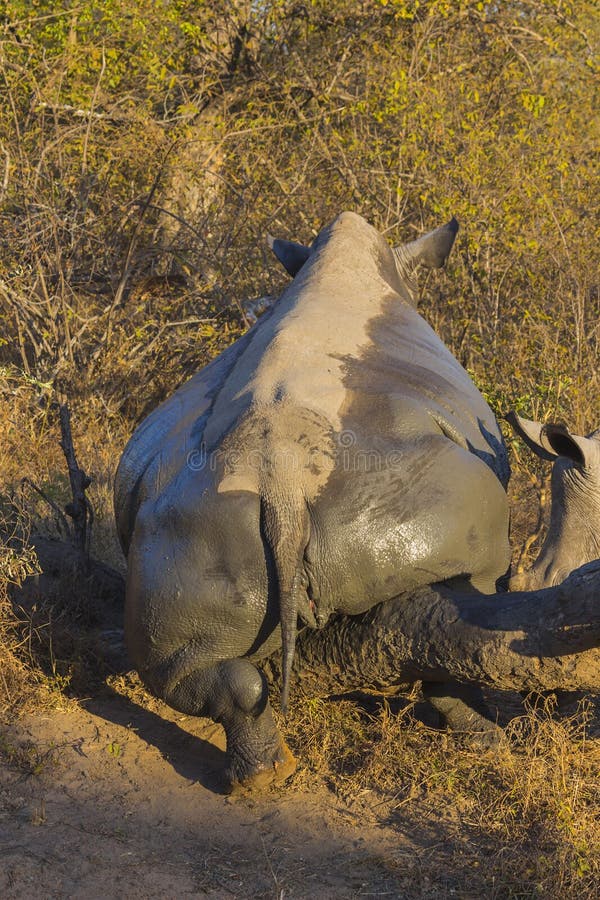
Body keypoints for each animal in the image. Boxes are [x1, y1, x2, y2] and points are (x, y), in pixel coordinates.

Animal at [114, 212, 512, 791]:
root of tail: (280, 477)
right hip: (422, 487)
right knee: (471, 593)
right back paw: (487, 739)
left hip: (190, 523)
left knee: (178, 666)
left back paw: (261, 778)